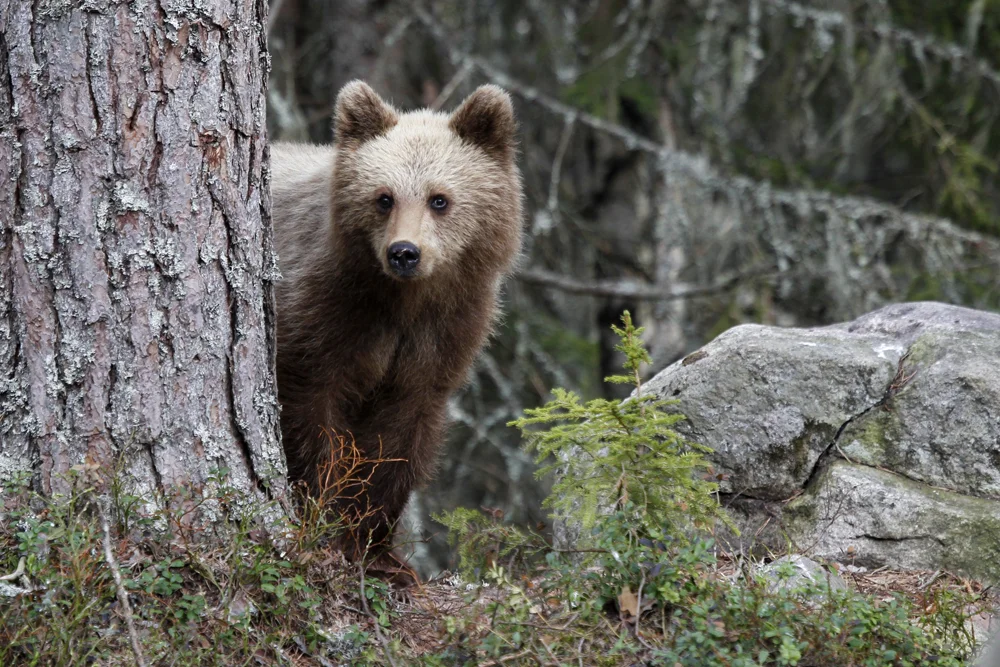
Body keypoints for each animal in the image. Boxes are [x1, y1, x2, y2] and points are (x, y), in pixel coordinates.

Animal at [270, 81, 523, 572]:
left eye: (439, 199)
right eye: (383, 197)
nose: (404, 252)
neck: (401, 302)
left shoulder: (441, 336)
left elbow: (400, 436)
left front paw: (377, 549)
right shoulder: (325, 316)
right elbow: (312, 415)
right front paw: (326, 522)